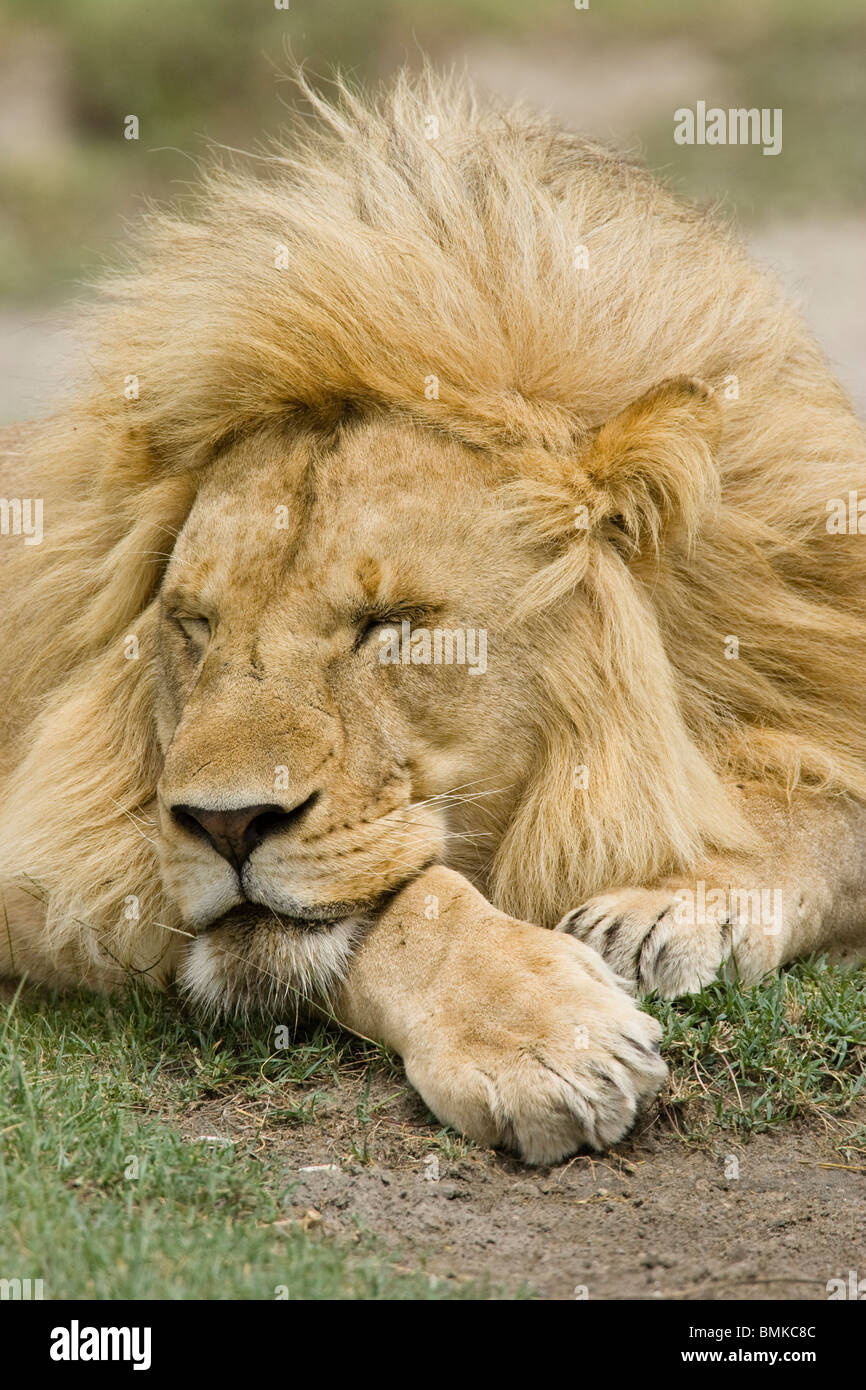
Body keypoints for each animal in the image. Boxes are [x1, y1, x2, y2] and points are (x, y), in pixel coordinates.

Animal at [2, 69, 866, 1165]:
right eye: (193, 624)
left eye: (391, 623)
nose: (222, 822)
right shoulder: (60, 847)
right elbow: (396, 899)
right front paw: (542, 1038)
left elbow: (823, 812)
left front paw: (670, 907)